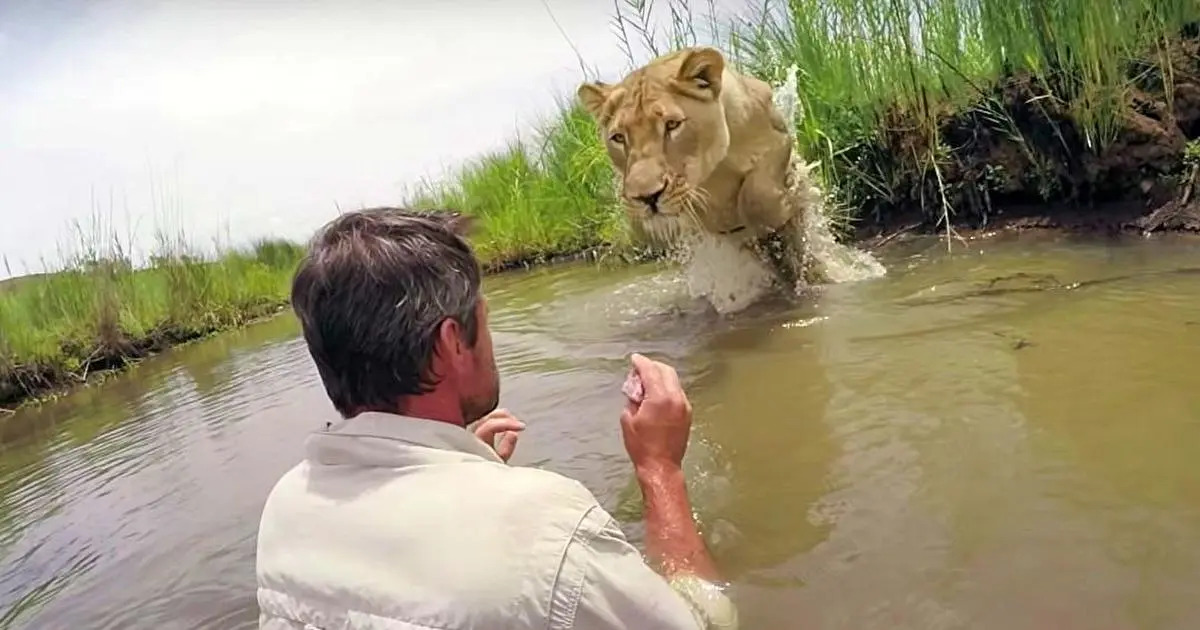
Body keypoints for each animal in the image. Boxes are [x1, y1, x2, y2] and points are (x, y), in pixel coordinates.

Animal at [576, 45, 817, 290]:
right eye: (618, 138)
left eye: (672, 125)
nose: (647, 198)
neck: (713, 173)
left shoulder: (780, 138)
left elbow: (758, 194)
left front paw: (788, 202)